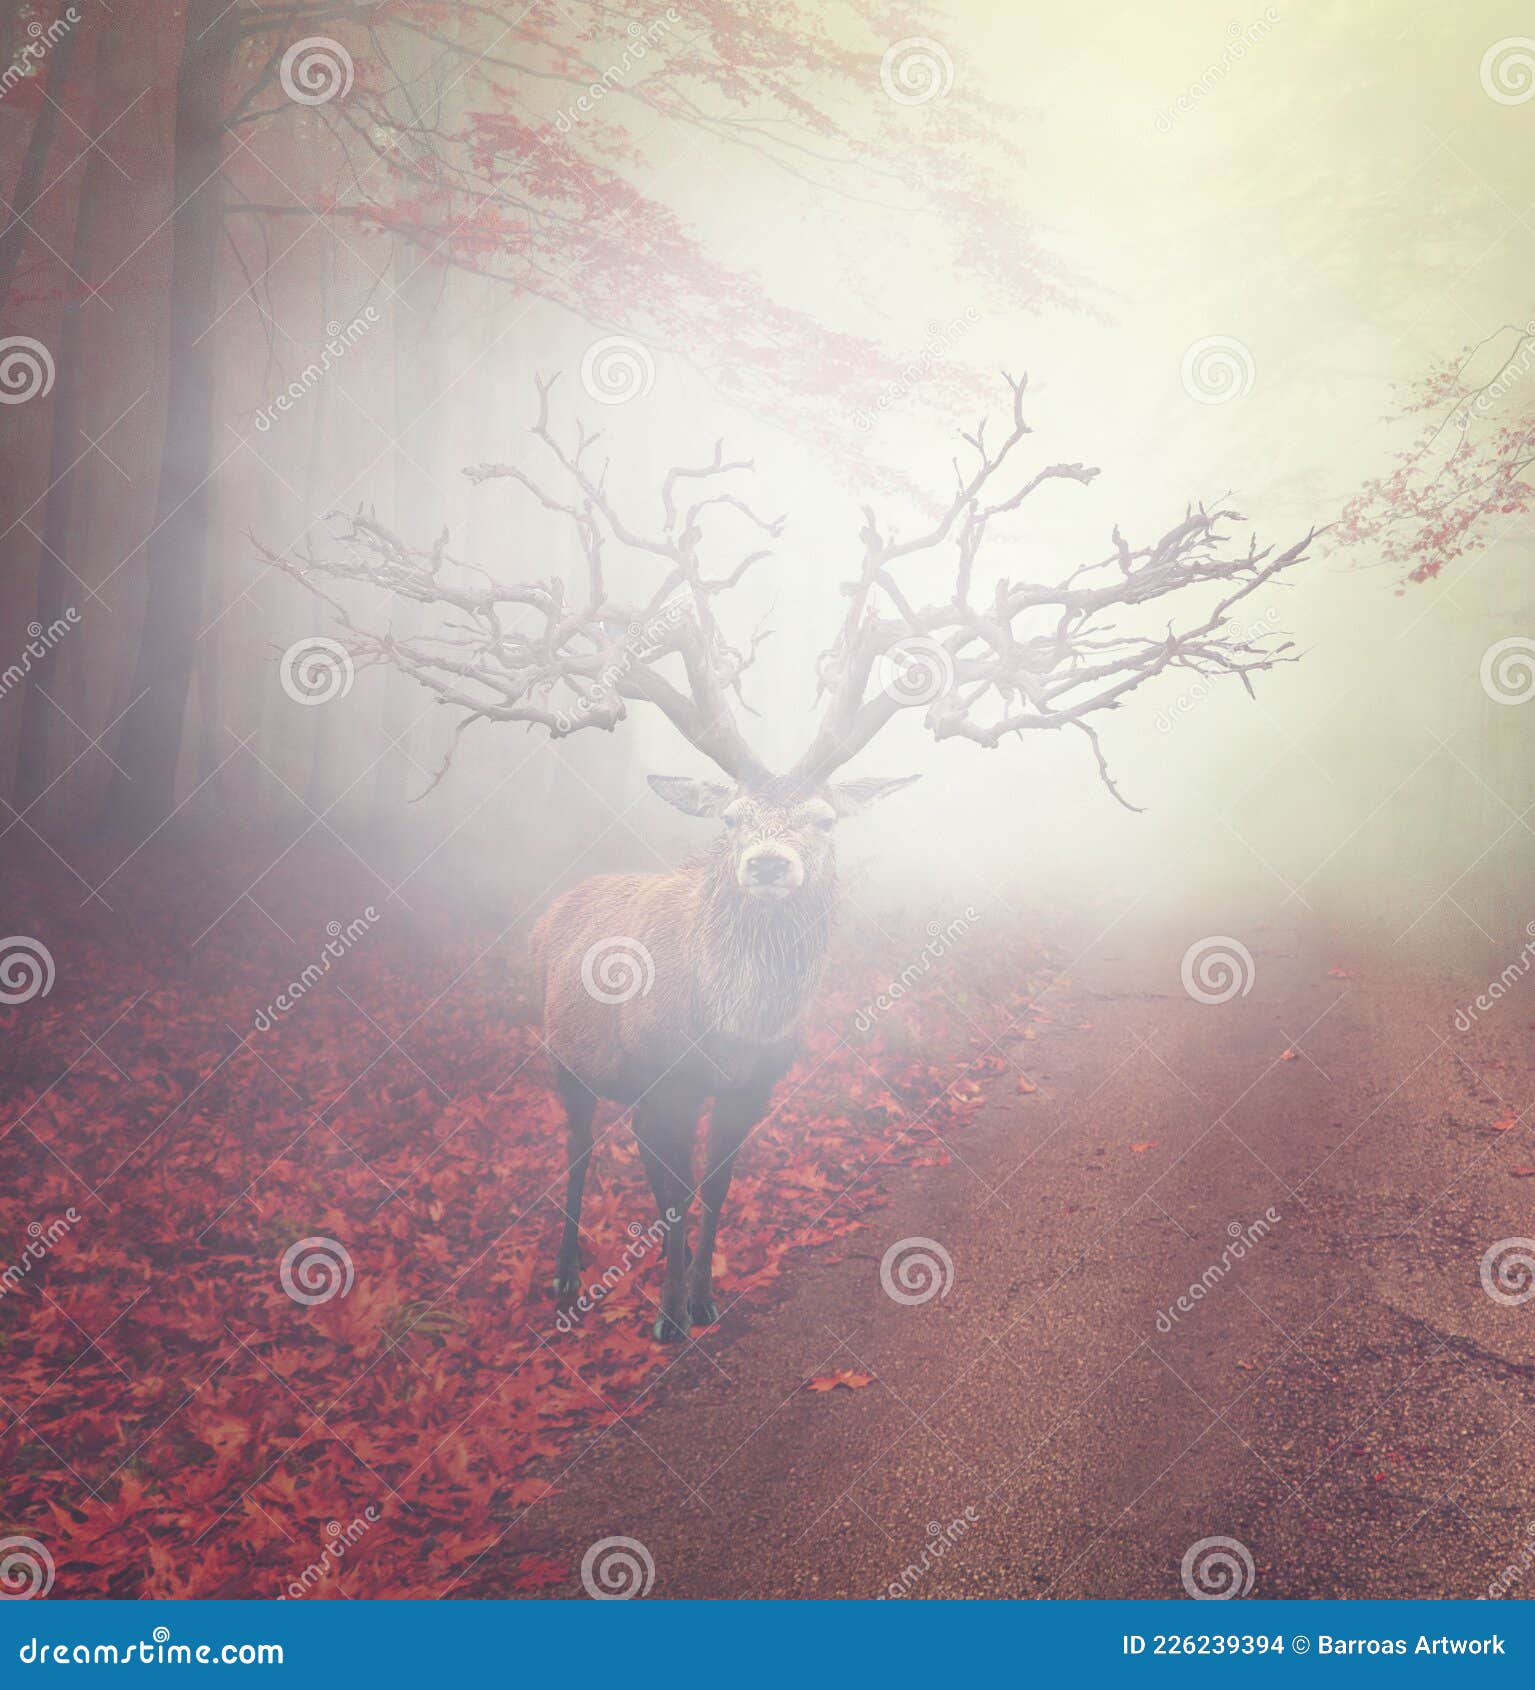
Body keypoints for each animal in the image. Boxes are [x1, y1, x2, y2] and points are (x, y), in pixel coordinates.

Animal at [270, 371, 1317, 1342]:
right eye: (732, 818)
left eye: (822, 820)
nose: (769, 865)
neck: (730, 1025)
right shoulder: (661, 1082)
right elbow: (671, 1197)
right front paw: (663, 1321)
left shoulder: (753, 1089)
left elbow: (719, 1191)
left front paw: (704, 1304)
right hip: (557, 1054)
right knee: (574, 1155)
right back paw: (564, 1283)